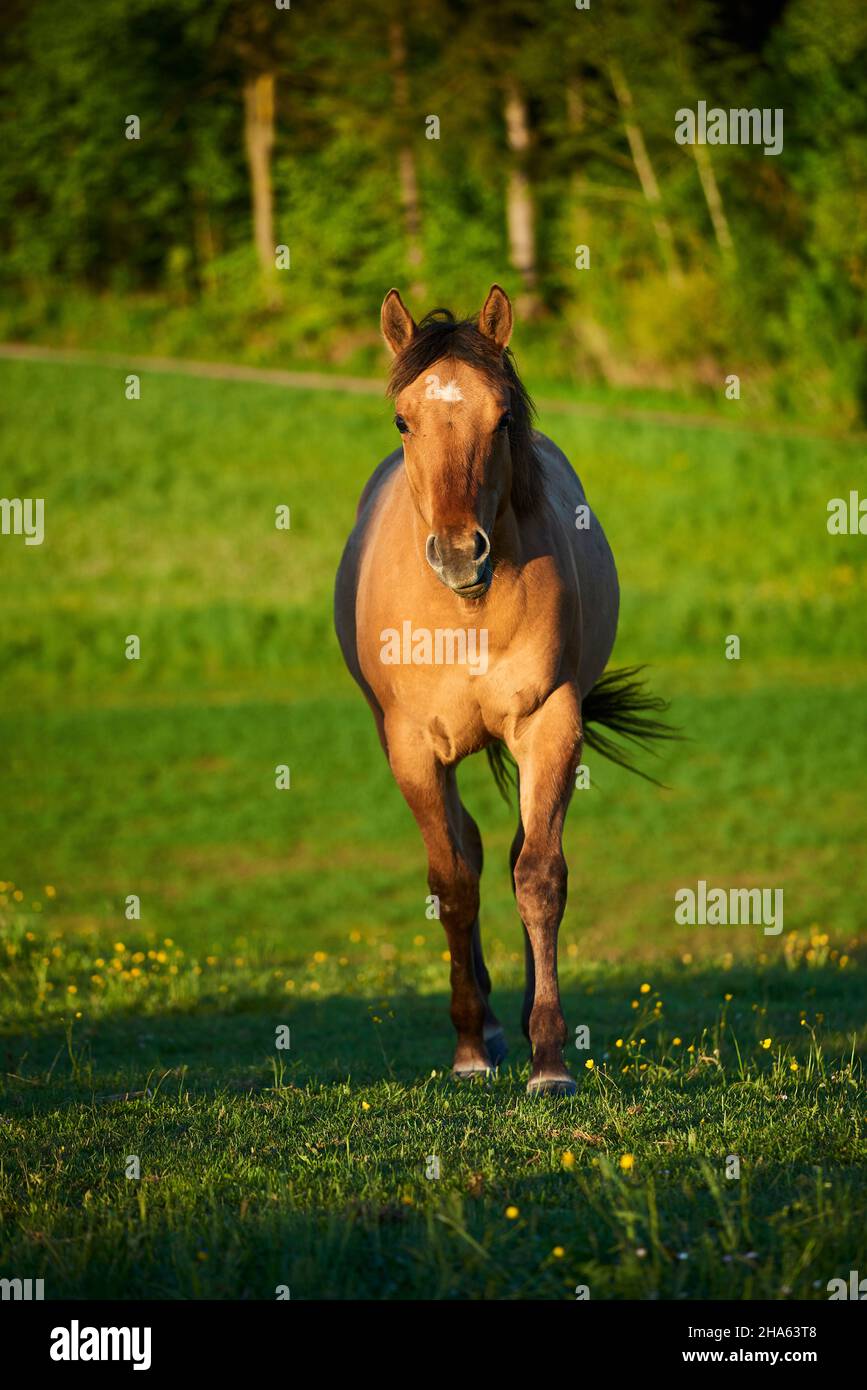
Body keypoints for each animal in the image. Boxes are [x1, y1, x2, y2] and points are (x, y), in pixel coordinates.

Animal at [335, 285, 671, 1095]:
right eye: (404, 419)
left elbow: (540, 876)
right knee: (473, 849)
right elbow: (453, 881)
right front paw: (467, 1049)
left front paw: (549, 1059)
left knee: (518, 852)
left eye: (503, 417)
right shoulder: (411, 747)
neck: (465, 614)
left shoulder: (550, 724)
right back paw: (485, 1026)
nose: (460, 553)